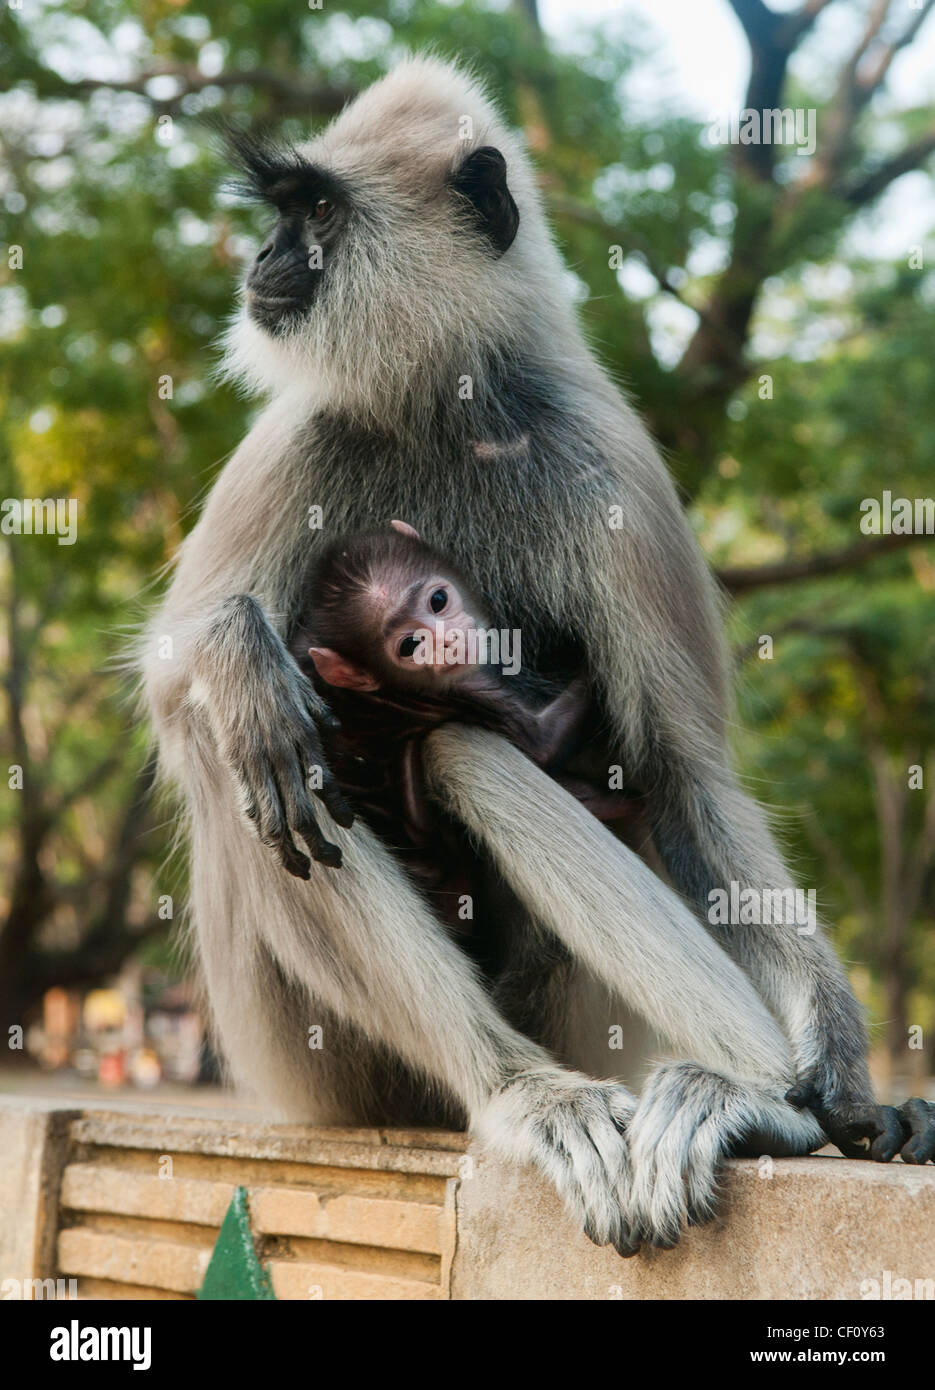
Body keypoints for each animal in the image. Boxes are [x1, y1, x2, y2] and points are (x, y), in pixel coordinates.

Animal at [142, 57, 935, 1258]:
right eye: (285, 212)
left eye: (315, 213)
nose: (264, 260)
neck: (446, 400)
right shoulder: (297, 439)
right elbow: (169, 678)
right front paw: (240, 653)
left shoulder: (606, 462)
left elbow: (677, 777)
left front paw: (834, 1071)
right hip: (303, 1059)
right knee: (237, 741)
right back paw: (522, 1092)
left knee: (466, 756)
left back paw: (756, 1103)